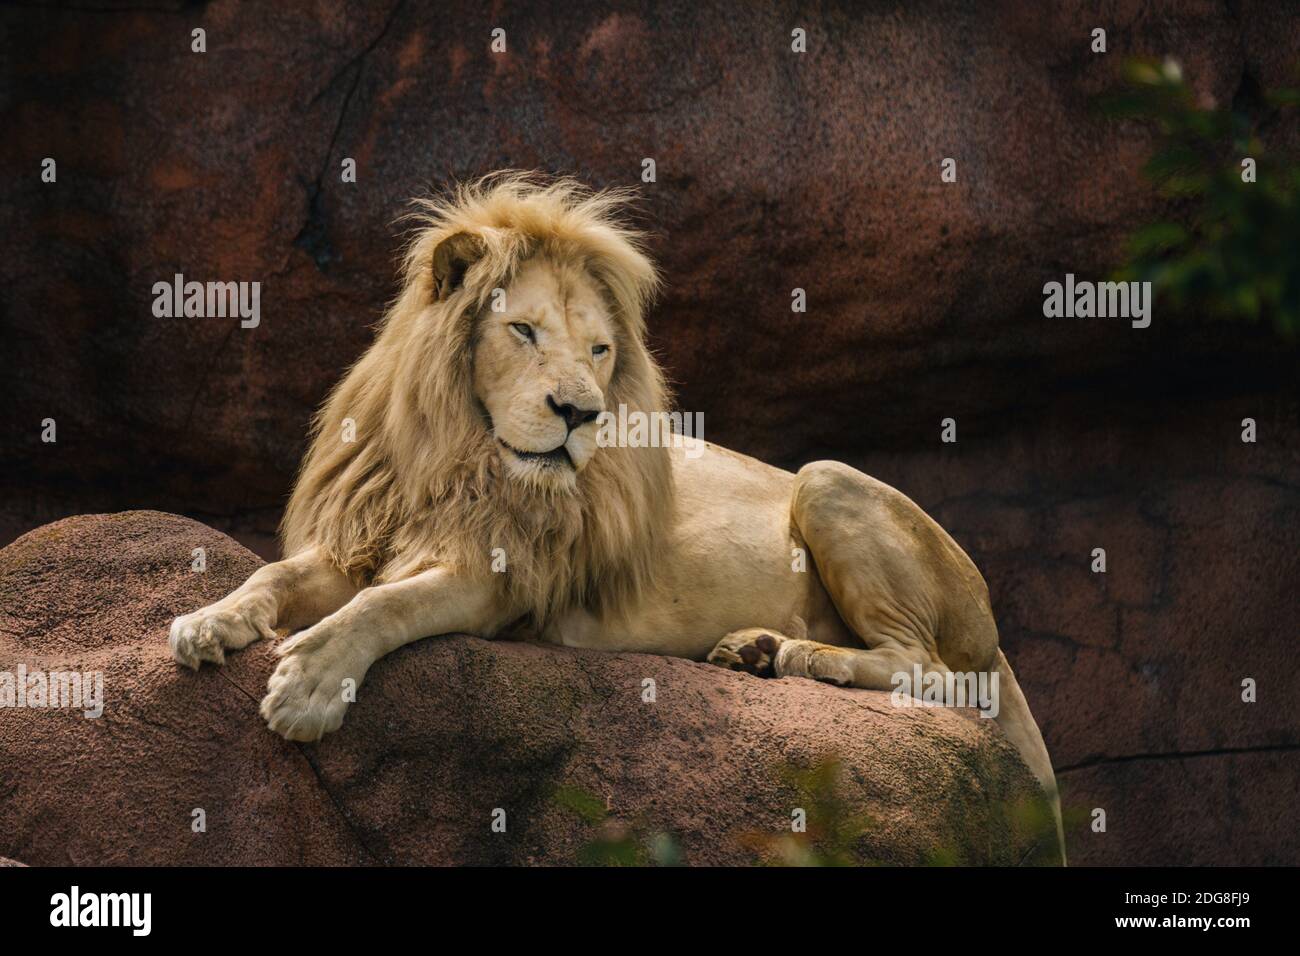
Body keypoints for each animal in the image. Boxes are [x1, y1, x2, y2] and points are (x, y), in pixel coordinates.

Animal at [169, 172, 1064, 862]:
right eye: (523, 331)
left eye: (600, 350)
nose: (580, 413)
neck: (455, 457)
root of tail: (992, 624)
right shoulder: (361, 538)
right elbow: (275, 576)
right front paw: (208, 622)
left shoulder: (501, 581)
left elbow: (386, 605)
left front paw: (310, 684)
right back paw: (755, 650)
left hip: (827, 481)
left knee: (933, 672)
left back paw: (804, 656)